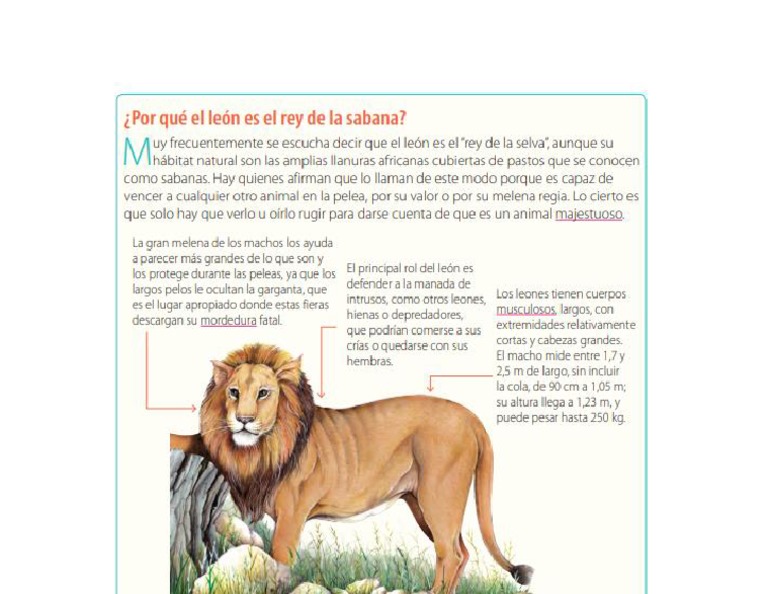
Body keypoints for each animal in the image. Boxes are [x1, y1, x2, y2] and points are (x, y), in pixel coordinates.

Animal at [171, 344, 533, 593]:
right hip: (423, 504)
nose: (243, 420)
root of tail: (472, 418)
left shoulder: (292, 514)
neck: (260, 448)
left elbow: (280, 562)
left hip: (439, 497)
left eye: (263, 393)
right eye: (233, 392)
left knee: (451, 554)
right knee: (461, 552)